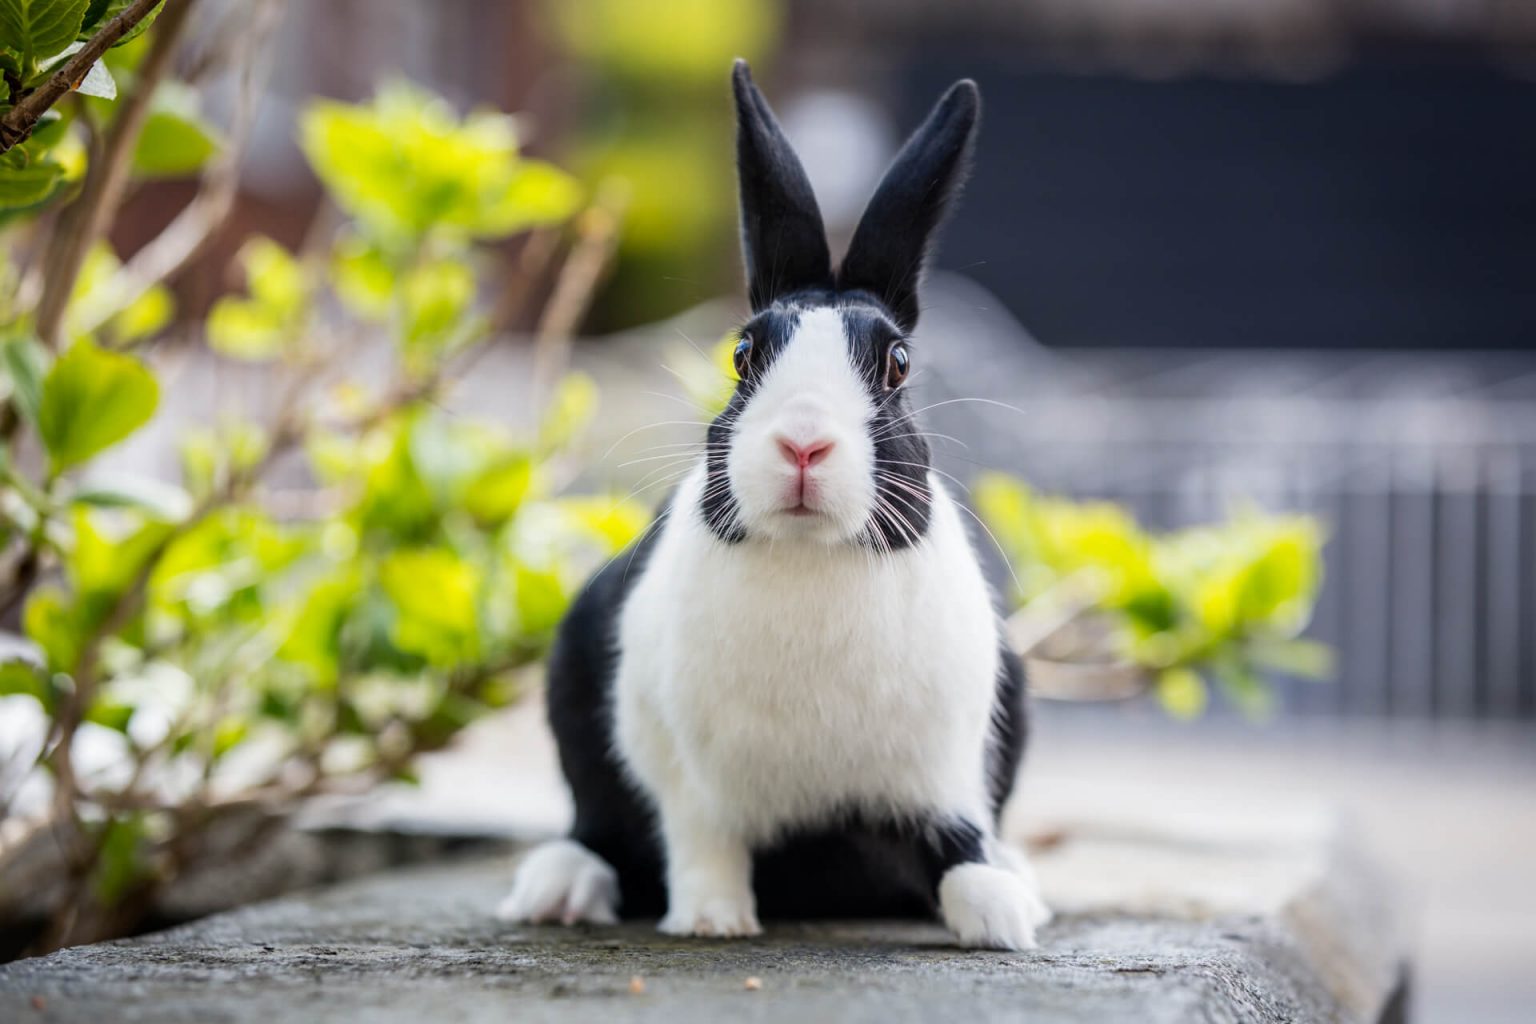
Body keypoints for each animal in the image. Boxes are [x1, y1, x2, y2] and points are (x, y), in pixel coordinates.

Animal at [496, 60, 1050, 950]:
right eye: (742, 352)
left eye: (897, 363)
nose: (802, 444)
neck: (808, 555)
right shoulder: (682, 771)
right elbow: (703, 842)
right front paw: (713, 922)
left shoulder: (945, 765)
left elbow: (958, 841)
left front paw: (1001, 919)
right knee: (597, 832)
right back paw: (559, 888)